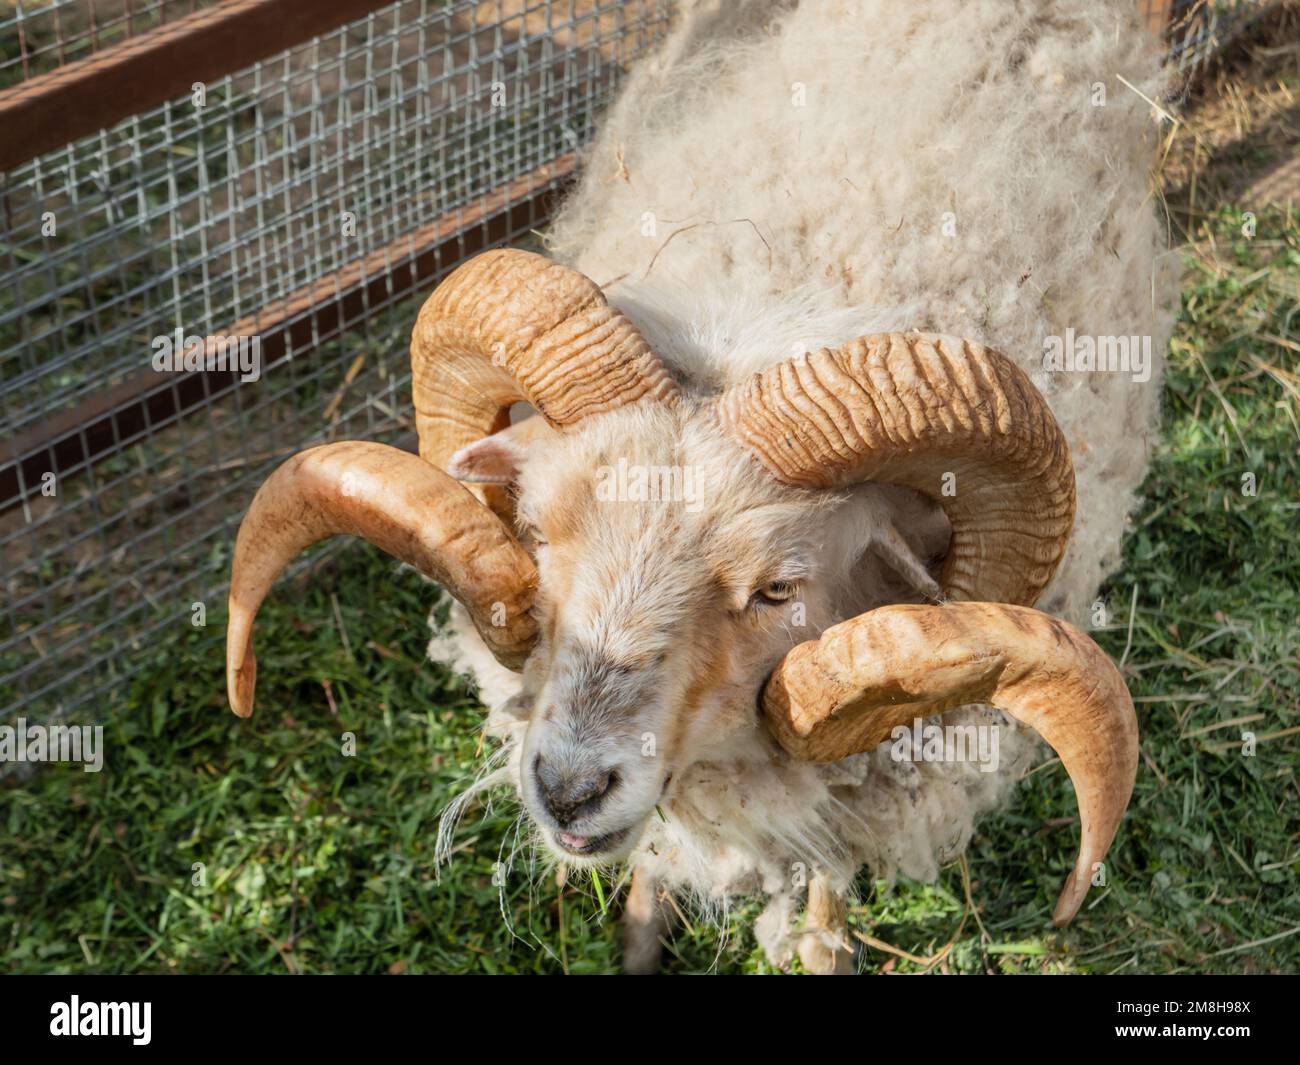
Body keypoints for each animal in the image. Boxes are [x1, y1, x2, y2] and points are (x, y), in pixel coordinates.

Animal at [224, 0, 1174, 973]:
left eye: (779, 589)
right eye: (537, 535)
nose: (568, 787)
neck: (789, 282)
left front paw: (820, 940)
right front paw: (643, 928)